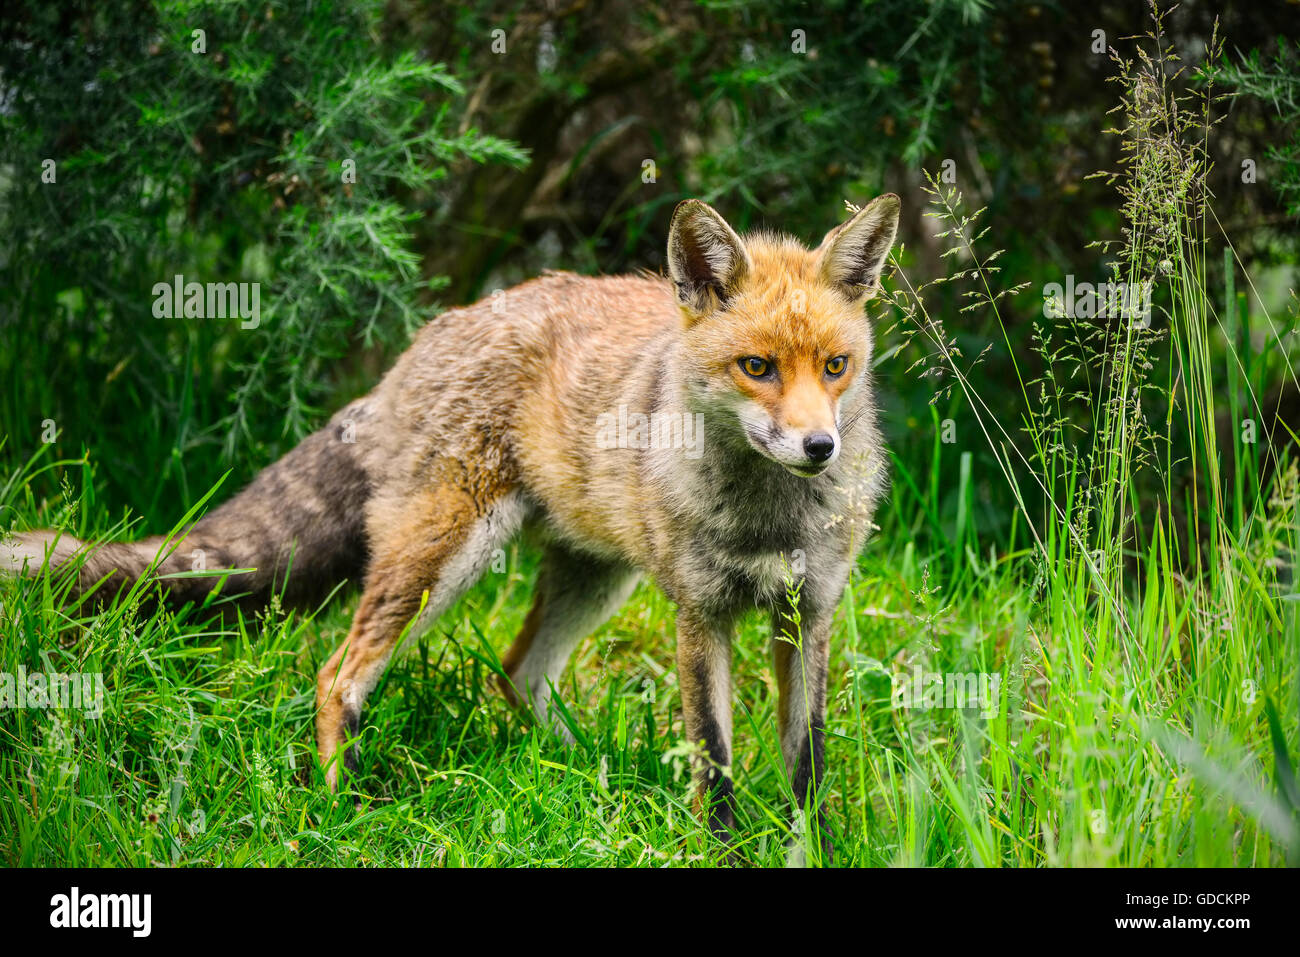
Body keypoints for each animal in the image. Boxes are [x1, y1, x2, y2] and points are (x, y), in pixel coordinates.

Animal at [4, 193, 900, 863]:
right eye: (757, 368)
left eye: (835, 366)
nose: (819, 447)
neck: (768, 519)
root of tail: (434, 330)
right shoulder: (699, 613)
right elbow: (713, 763)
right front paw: (725, 851)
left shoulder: (810, 611)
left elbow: (809, 766)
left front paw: (814, 852)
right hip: (441, 558)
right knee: (338, 676)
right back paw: (341, 813)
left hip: (594, 575)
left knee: (517, 672)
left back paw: (590, 774)